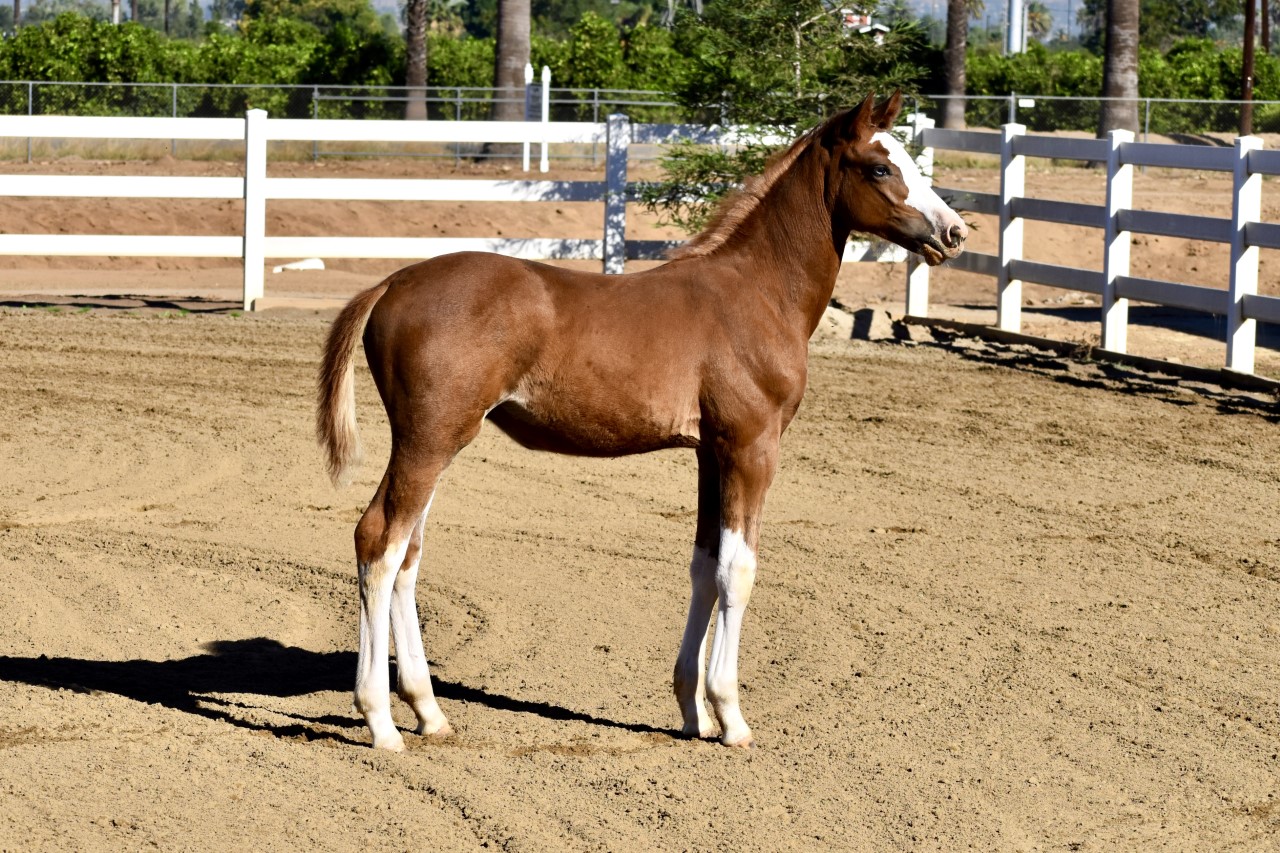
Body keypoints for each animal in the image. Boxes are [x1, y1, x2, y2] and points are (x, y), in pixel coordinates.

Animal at [316, 91, 966, 752]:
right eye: (880, 168)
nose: (955, 231)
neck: (757, 293)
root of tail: (392, 281)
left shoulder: (711, 454)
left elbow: (705, 566)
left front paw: (692, 712)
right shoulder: (752, 448)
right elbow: (738, 570)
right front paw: (730, 717)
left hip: (436, 443)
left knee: (408, 556)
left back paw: (428, 711)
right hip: (429, 440)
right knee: (379, 543)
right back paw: (380, 720)